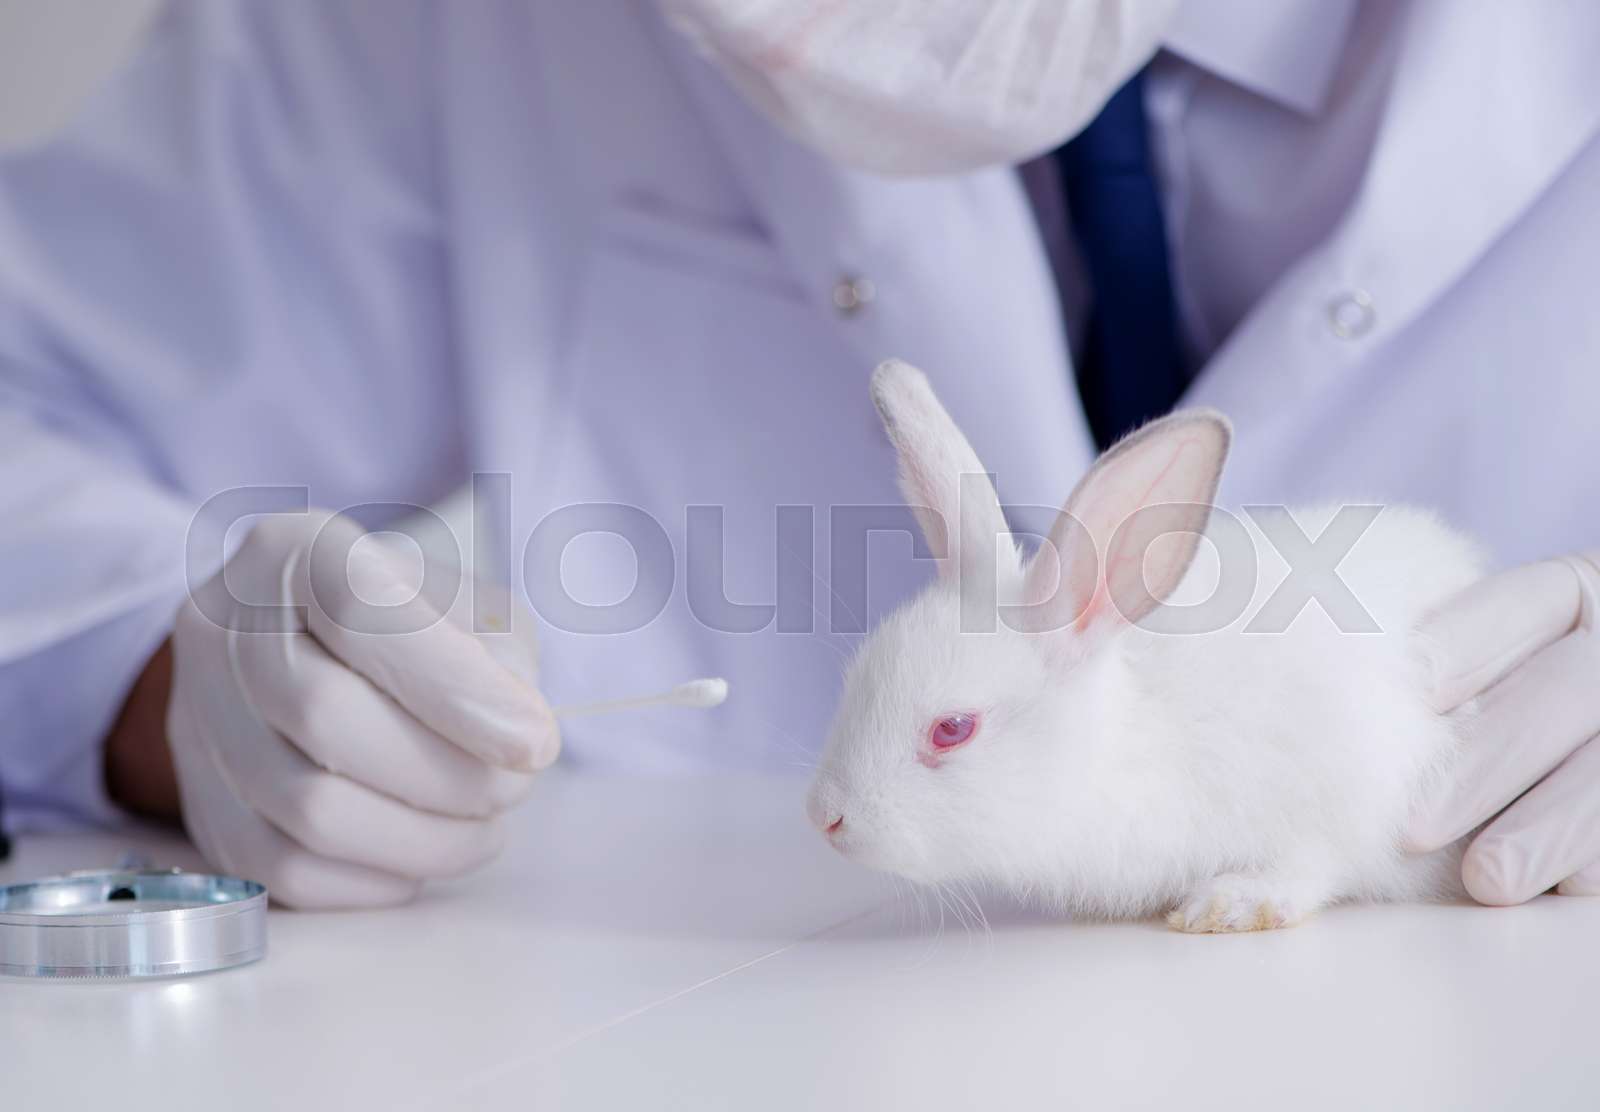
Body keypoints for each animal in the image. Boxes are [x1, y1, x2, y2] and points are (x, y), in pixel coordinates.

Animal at [806, 359, 1485, 932]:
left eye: (952, 729)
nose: (825, 818)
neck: (1127, 745)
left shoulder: (1339, 791)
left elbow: (1309, 866)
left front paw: (1228, 905)